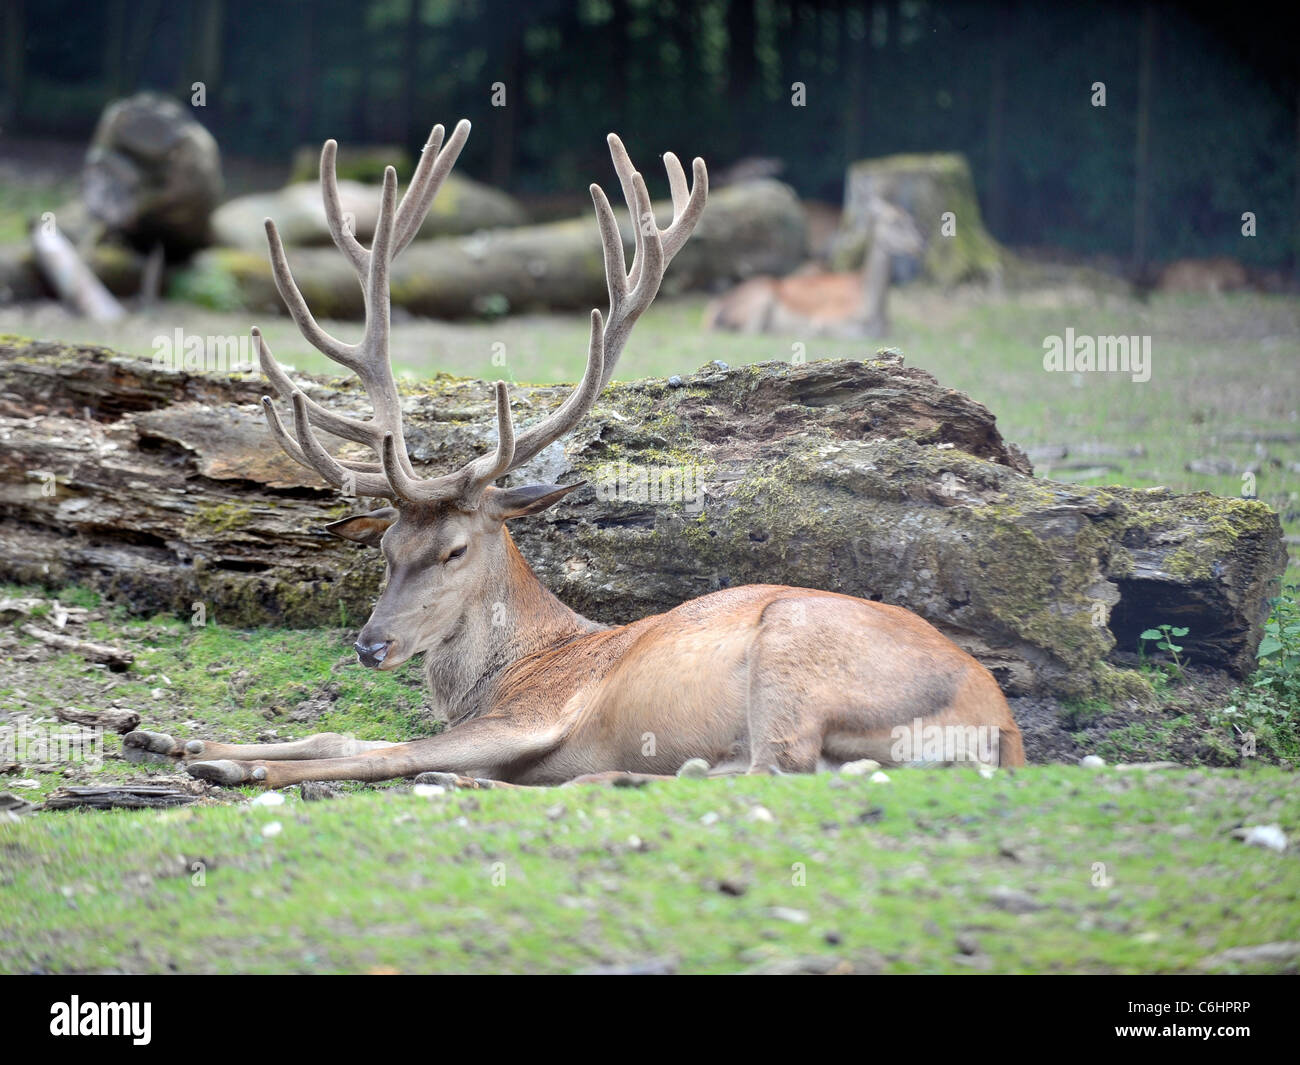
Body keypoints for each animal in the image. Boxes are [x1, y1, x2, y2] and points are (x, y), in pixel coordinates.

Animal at [704, 194, 924, 338]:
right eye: (893, 221)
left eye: (912, 219)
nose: (918, 244)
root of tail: (715, 308)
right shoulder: (828, 315)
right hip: (761, 298)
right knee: (750, 332)